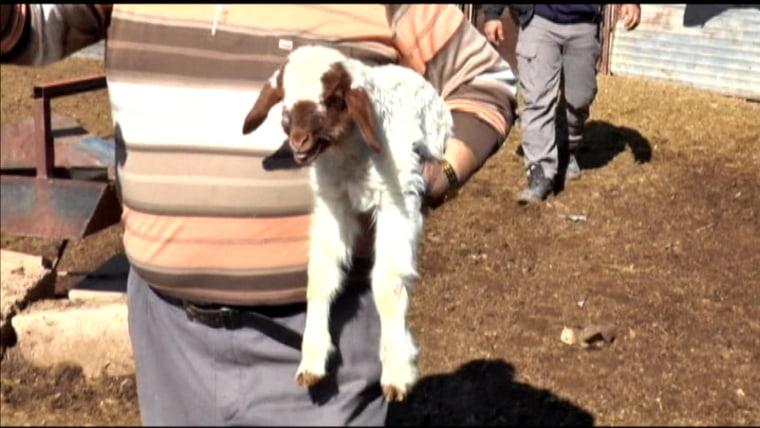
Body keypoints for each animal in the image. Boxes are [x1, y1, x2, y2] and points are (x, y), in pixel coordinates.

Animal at [241, 44, 454, 402]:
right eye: (285, 102)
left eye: (333, 98)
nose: (299, 141)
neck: (351, 157)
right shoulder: (333, 201)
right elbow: (321, 275)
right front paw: (312, 358)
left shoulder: (399, 195)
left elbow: (387, 284)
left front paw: (397, 369)